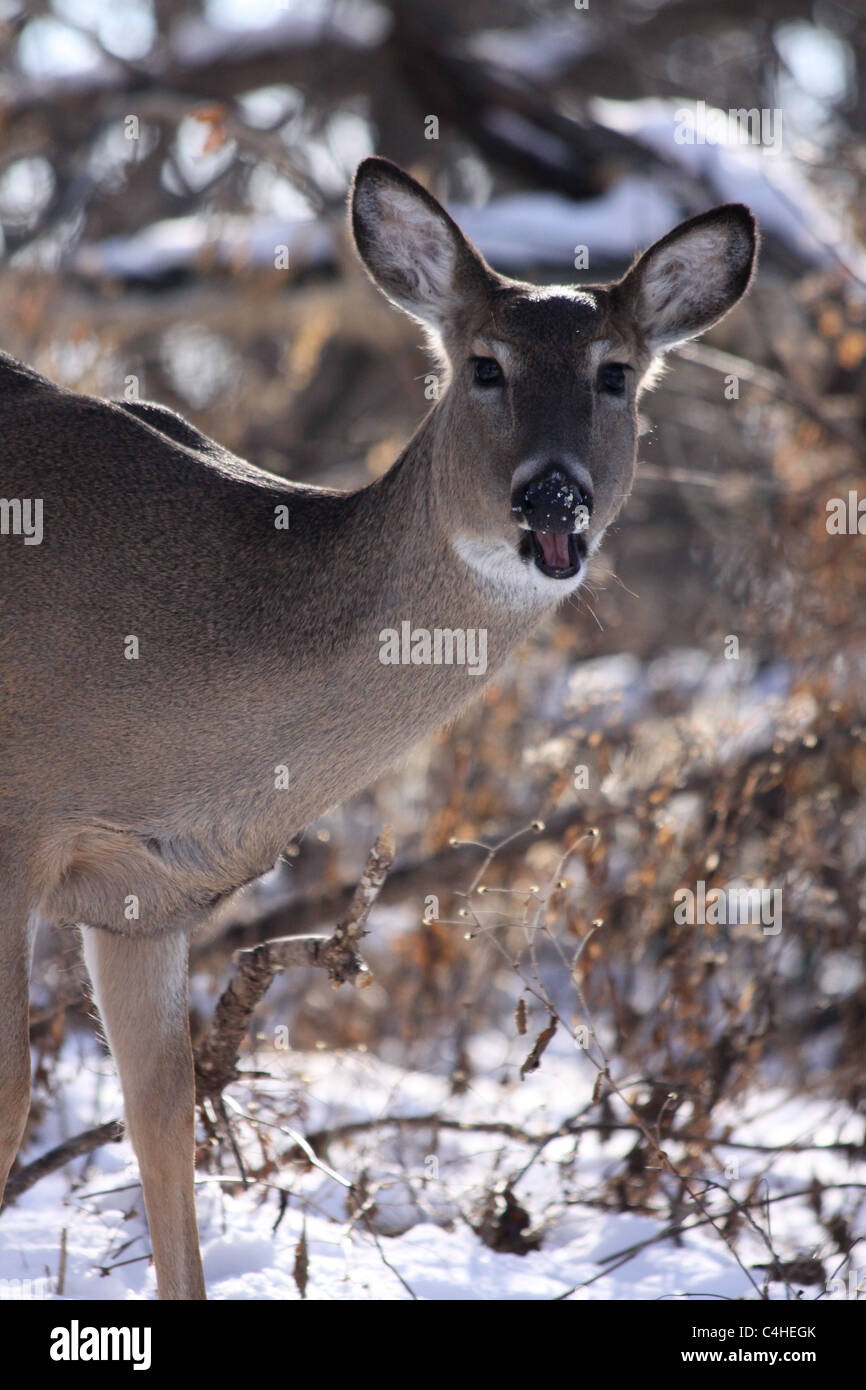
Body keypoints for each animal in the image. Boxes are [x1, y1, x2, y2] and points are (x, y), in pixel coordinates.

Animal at [0, 157, 756, 1299]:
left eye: (616, 374)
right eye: (483, 365)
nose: (553, 496)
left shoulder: (142, 897)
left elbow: (164, 1117)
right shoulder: (12, 829)